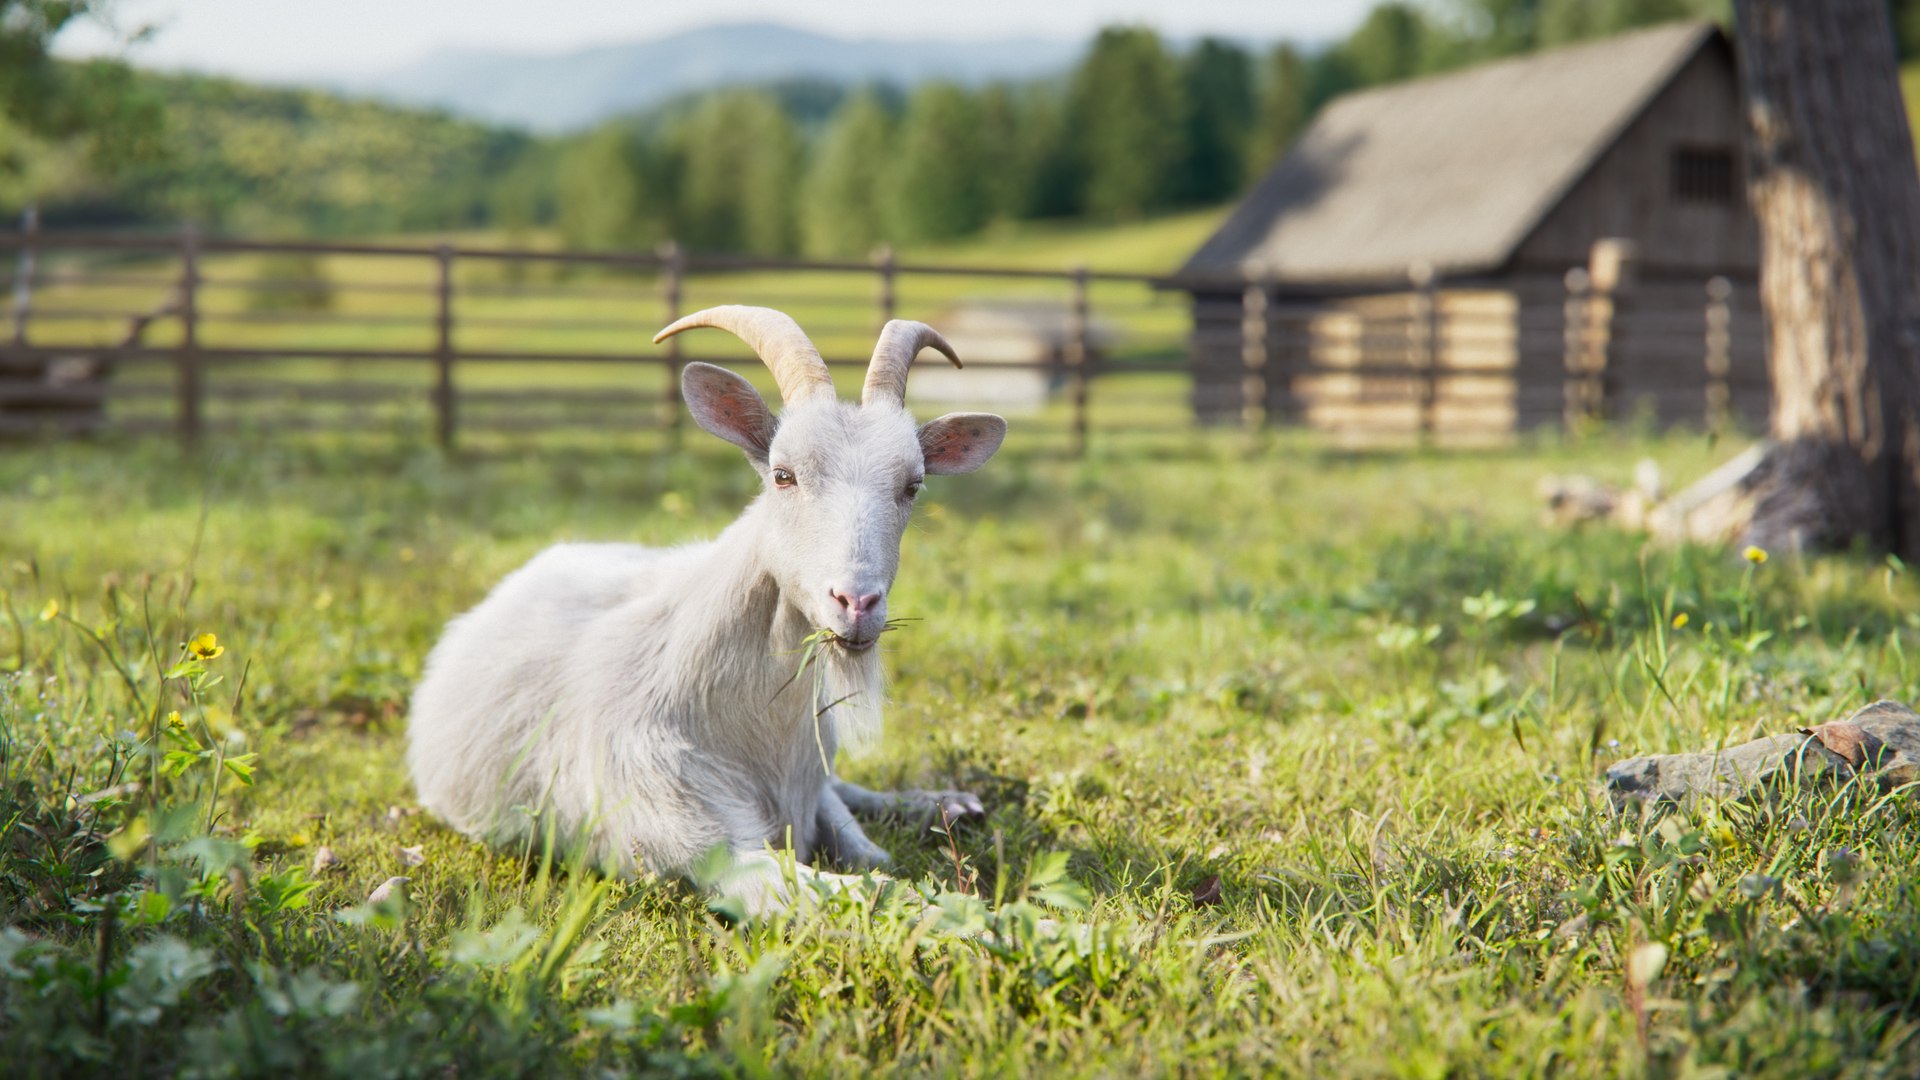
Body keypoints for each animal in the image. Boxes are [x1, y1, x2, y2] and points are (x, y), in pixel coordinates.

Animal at [406, 306, 1007, 914]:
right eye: (783, 475)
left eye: (912, 485)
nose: (856, 603)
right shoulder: (704, 844)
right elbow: (871, 892)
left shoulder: (805, 790)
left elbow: (864, 850)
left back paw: (949, 803)